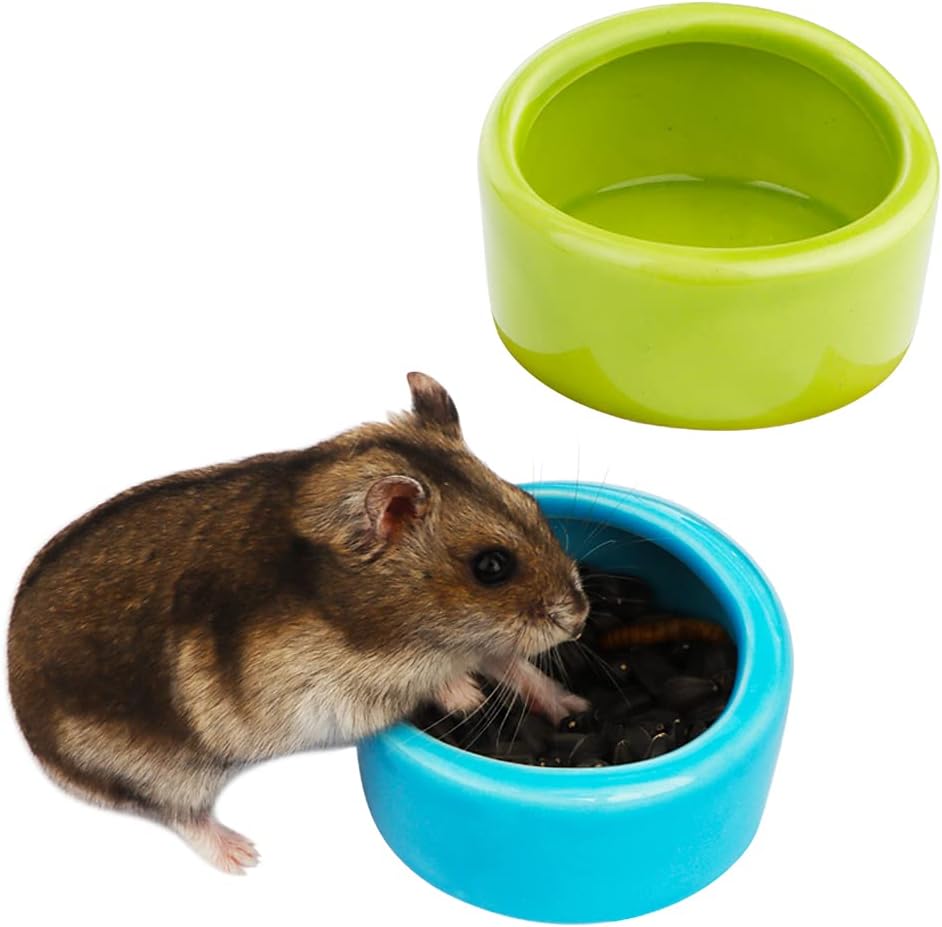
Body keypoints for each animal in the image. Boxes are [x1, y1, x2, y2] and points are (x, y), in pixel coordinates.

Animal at [7, 372, 589, 873]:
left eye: (531, 503)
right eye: (491, 566)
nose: (581, 619)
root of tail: (26, 727)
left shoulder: (480, 639)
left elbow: (514, 666)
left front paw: (572, 706)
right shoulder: (327, 687)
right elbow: (440, 679)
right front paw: (469, 698)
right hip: (161, 770)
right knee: (176, 813)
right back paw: (243, 857)